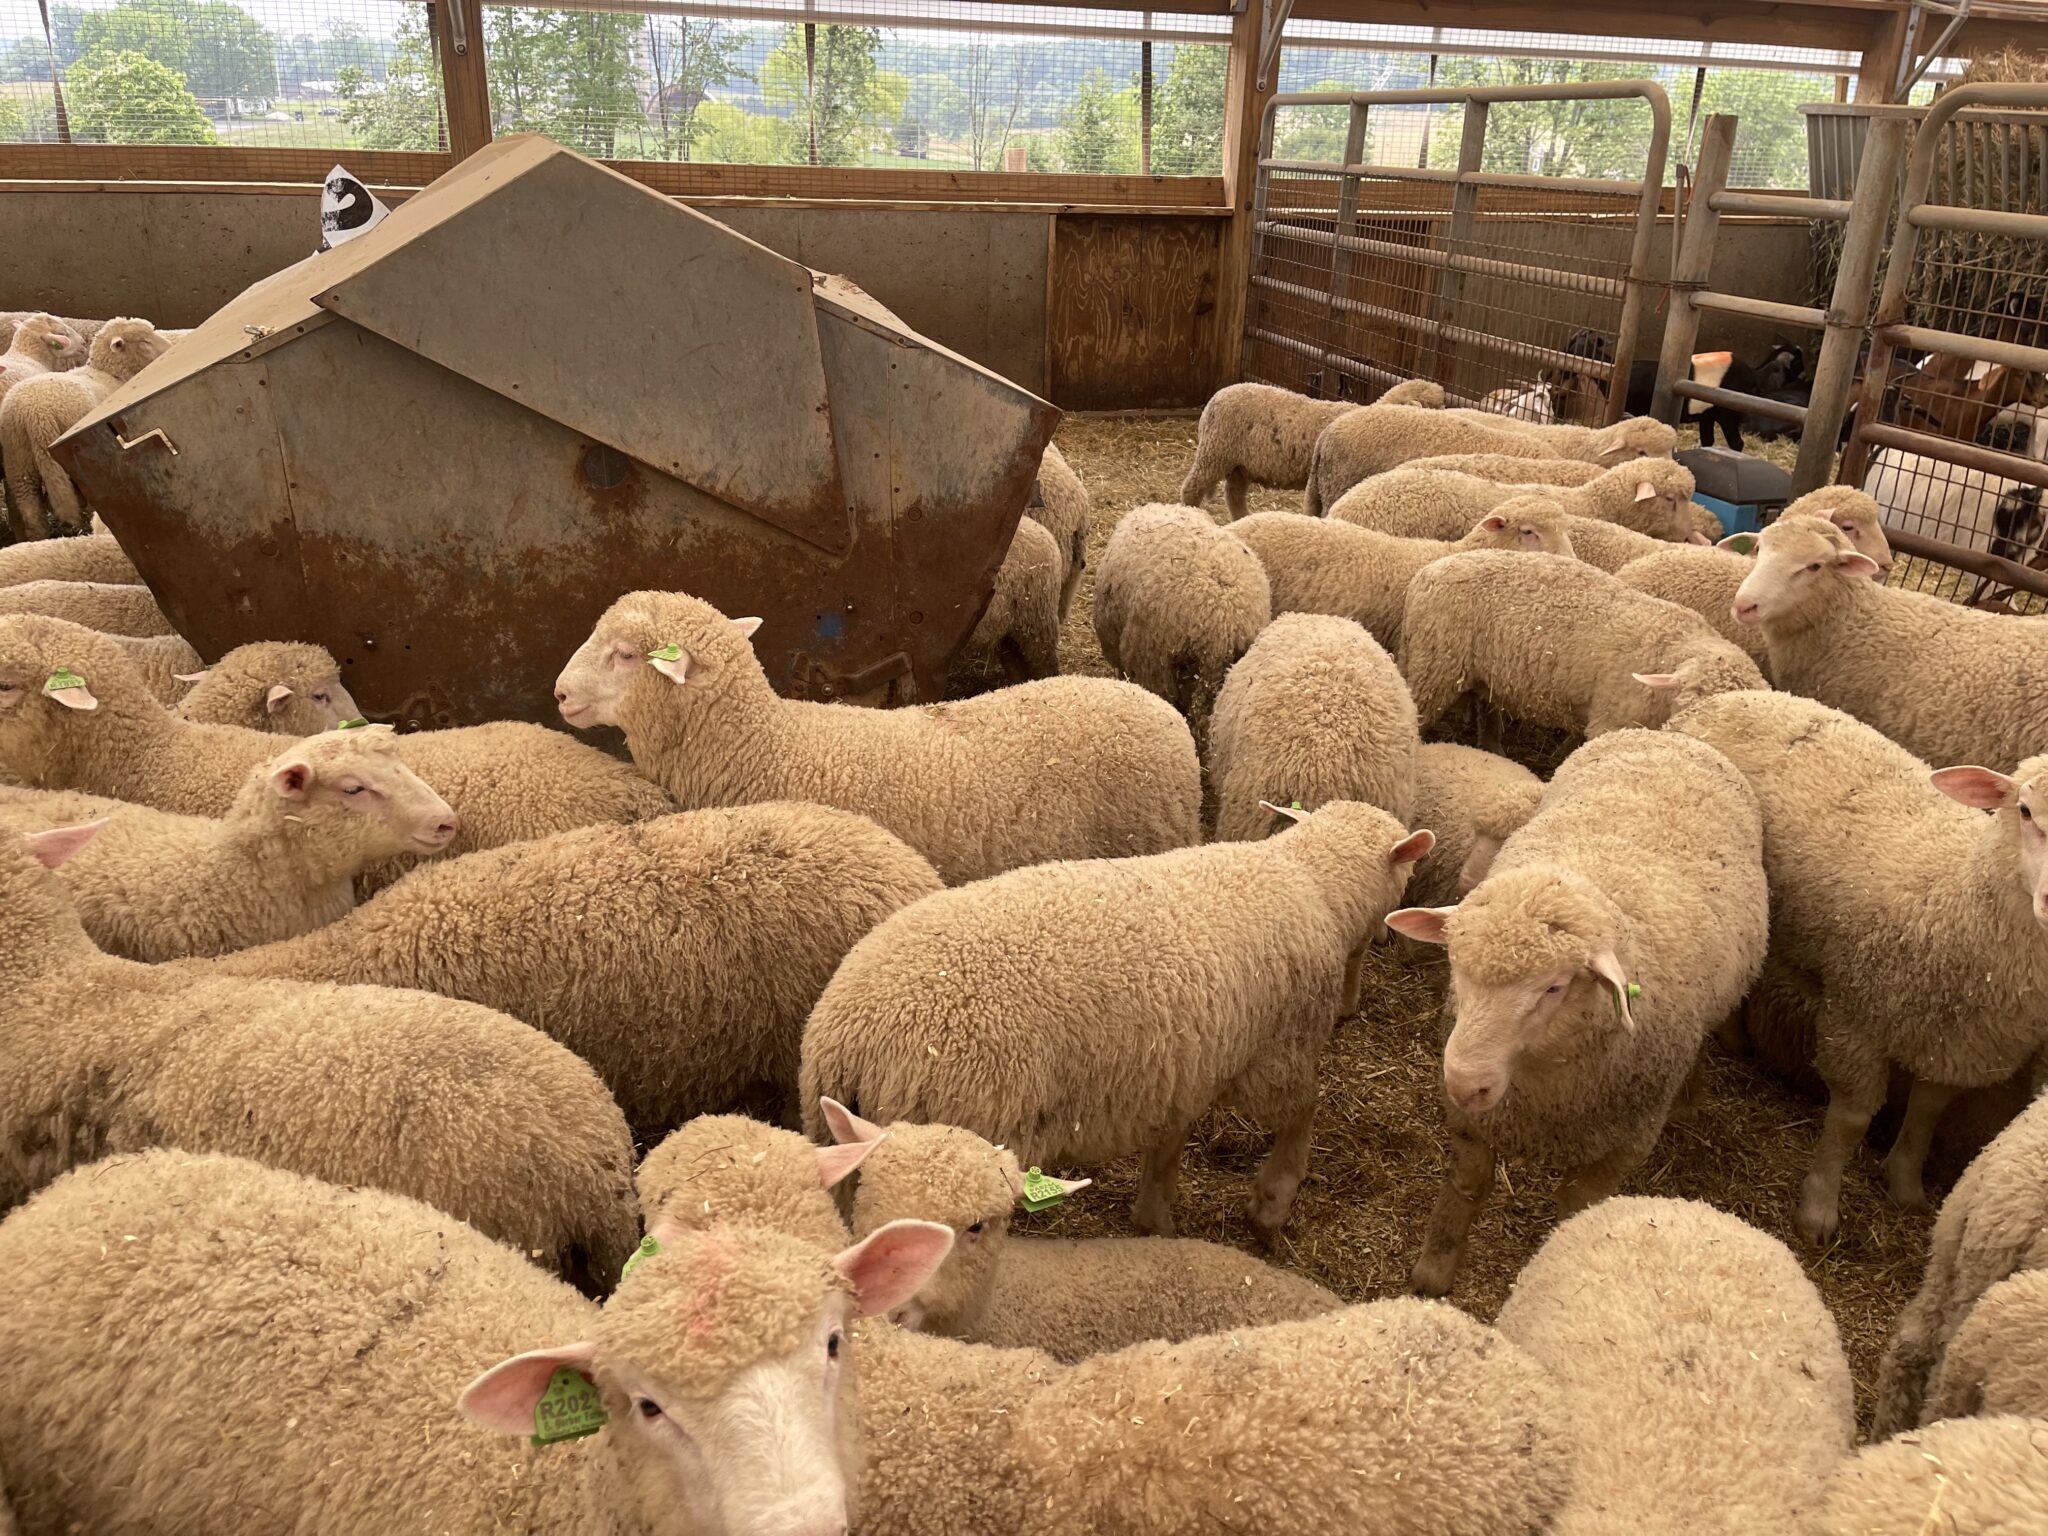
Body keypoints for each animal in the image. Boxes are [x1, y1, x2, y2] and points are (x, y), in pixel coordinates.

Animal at [2, 318, 172, 538]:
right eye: (143, 341)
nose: (170, 348)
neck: (109, 374)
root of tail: (32, 412)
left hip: (18, 460)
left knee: (29, 508)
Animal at [801, 799, 1433, 1243]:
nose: (1383, 938)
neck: (1312, 882)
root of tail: (851, 1037)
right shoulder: (1276, 1053)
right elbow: (1304, 1111)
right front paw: (1272, 1202)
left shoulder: (1183, 1065)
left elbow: (1168, 1144)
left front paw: (1154, 1218)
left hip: (836, 1146)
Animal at [1178, 381, 1357, 519]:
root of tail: (1215, 398)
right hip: (1215, 453)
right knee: (1192, 488)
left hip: (1238, 465)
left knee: (1233, 494)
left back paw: (1242, 518)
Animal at [1398, 551, 1767, 742]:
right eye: (1690, 705)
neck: (1671, 648)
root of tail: (1424, 574)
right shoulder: (1610, 720)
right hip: (1434, 666)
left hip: (1483, 676)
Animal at [1668, 690, 2048, 1246]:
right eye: (2024, 810)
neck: (1957, 894)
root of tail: (1723, 697)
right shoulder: (1855, 1019)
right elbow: (1851, 1119)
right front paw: (1819, 1209)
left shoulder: (1961, 1040)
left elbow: (1927, 1109)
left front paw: (1906, 1182)